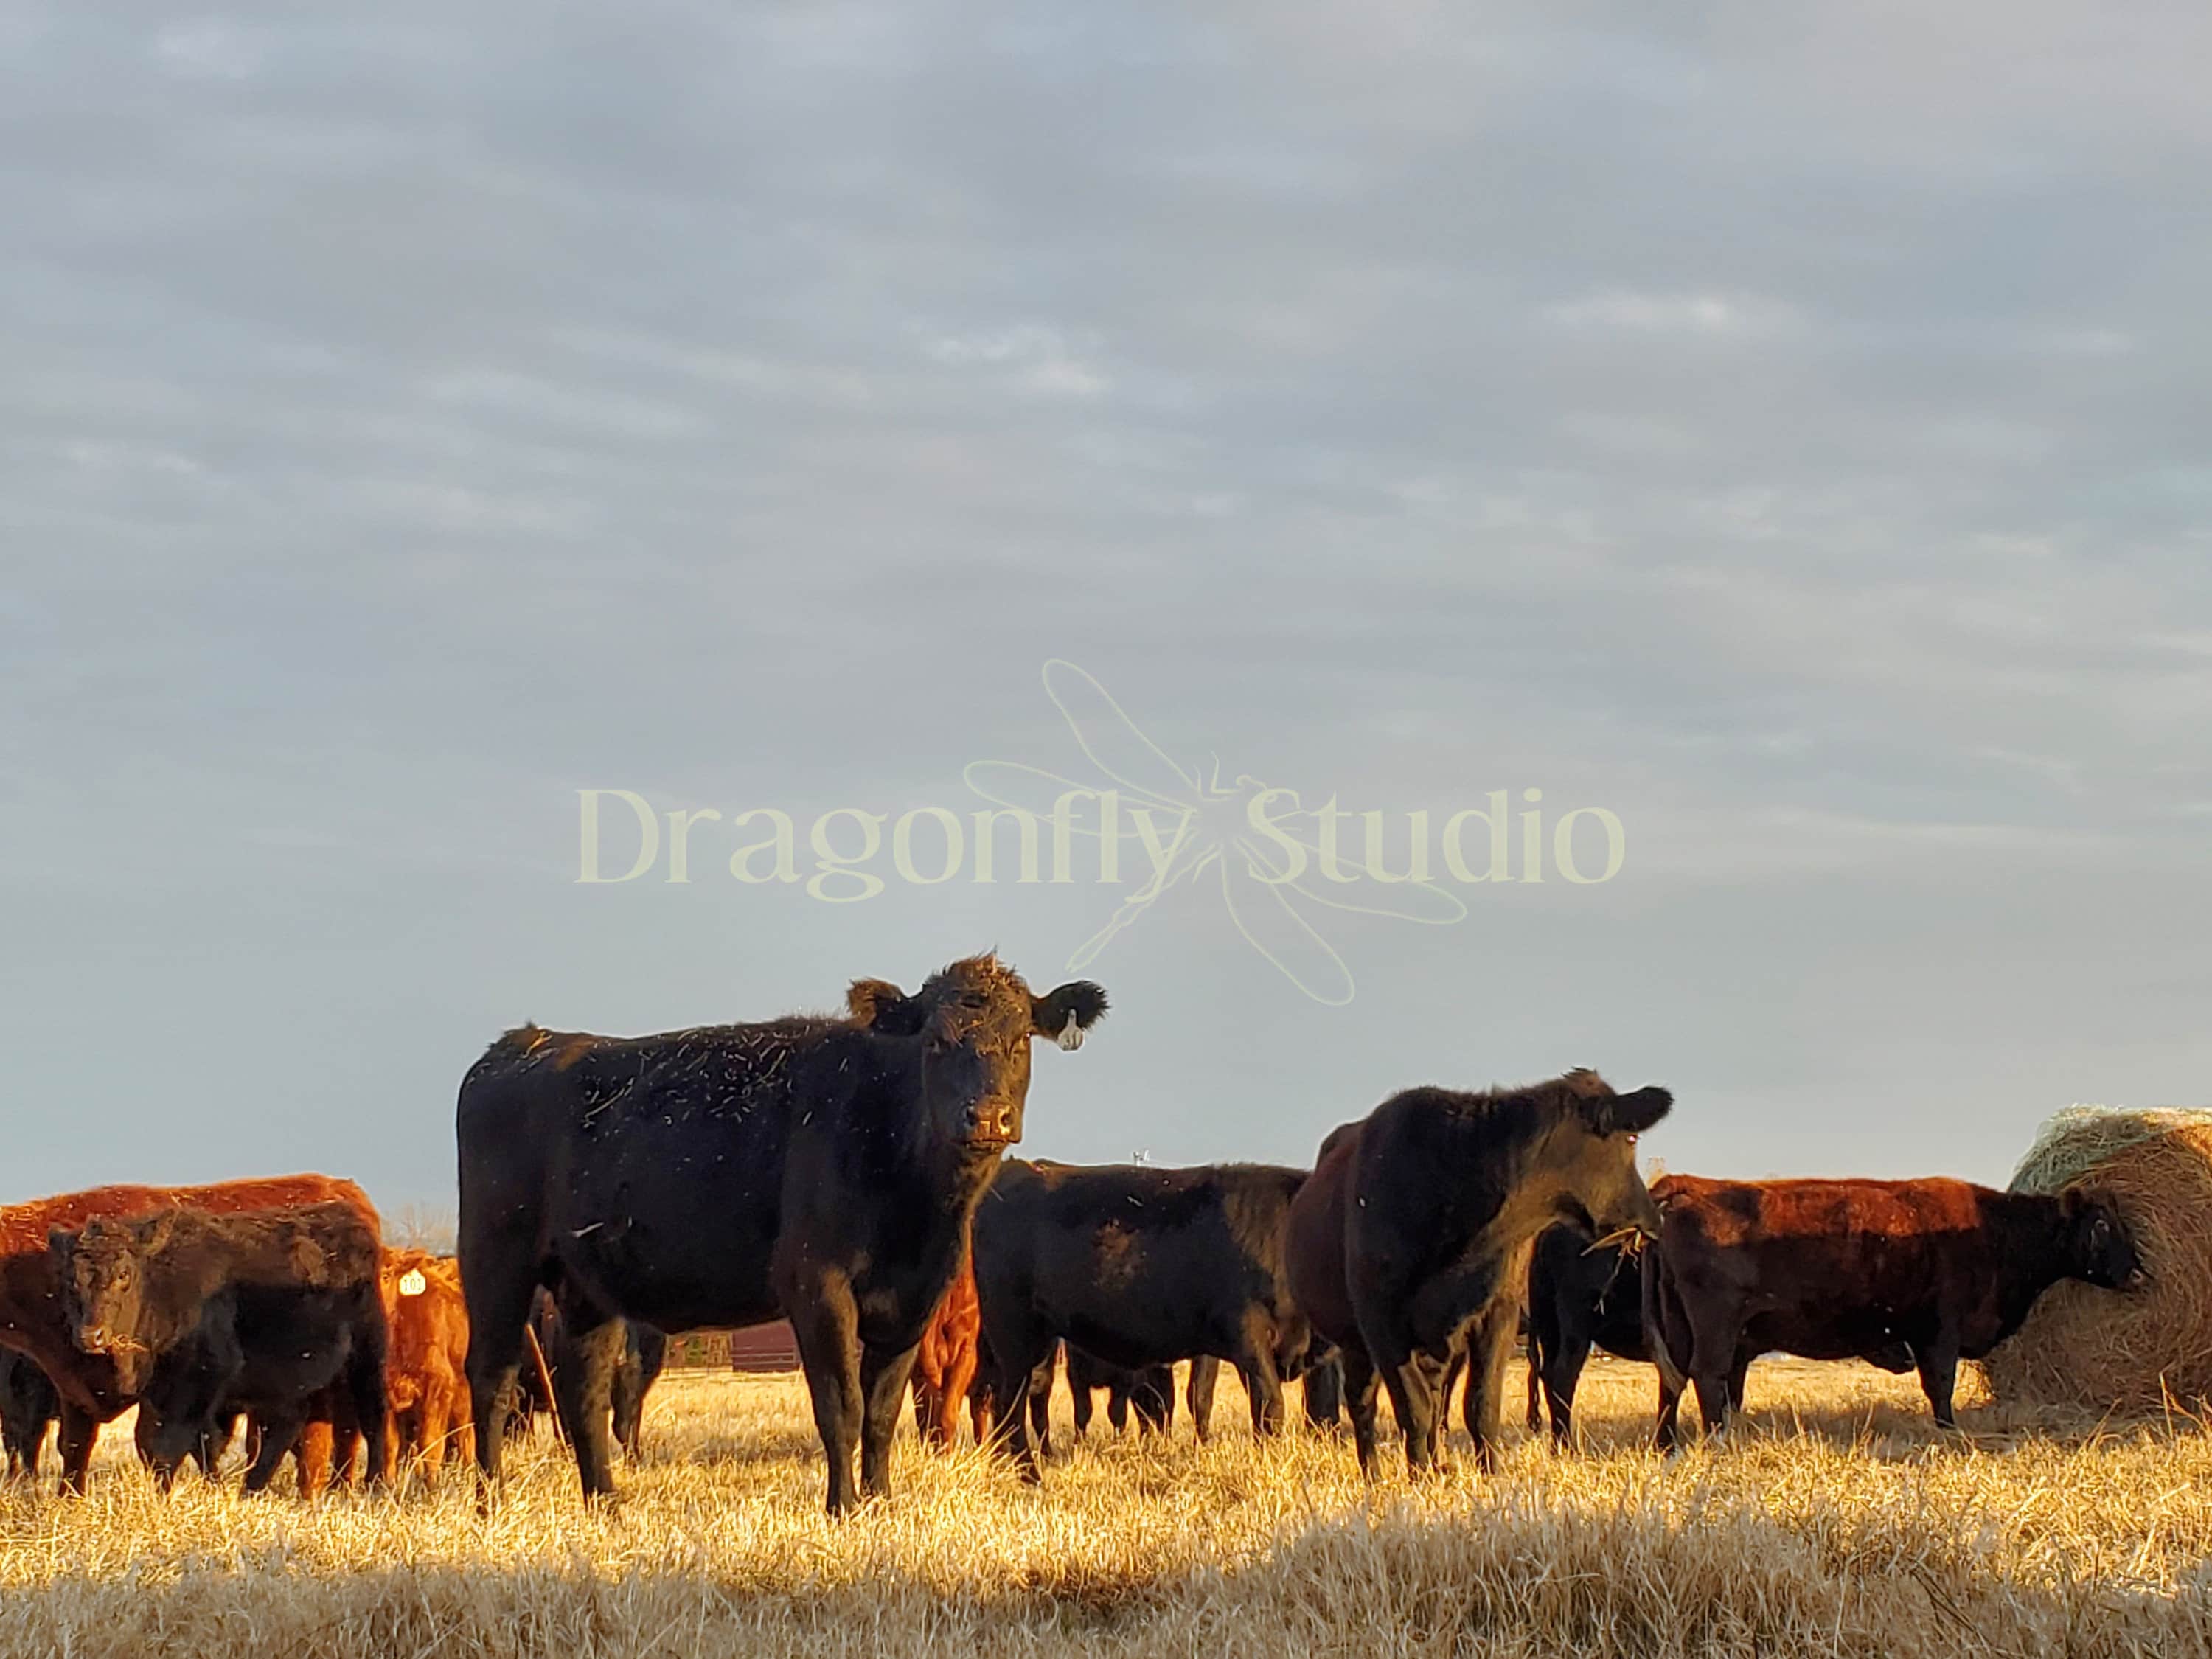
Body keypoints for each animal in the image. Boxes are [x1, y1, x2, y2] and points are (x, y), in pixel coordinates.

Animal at [381, 1249, 473, 1483]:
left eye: (386, 1275)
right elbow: (391, 1447)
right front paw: (388, 1487)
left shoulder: (438, 1389)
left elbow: (431, 1445)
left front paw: (432, 1486)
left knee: (466, 1438)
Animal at [972, 1158, 1315, 1481]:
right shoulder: (1249, 1337)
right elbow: (1271, 1406)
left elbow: (1222, 1401)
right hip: (1014, 1337)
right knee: (1009, 1408)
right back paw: (1030, 1476)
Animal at [1284, 1069, 1674, 1476]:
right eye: (1631, 1138)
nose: (1654, 1219)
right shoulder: (1382, 1325)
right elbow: (1413, 1410)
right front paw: (1418, 1478)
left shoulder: (1498, 1313)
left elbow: (1481, 1405)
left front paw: (1488, 1474)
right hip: (1355, 1340)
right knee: (1364, 1404)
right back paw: (1375, 1476)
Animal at [1643, 1175, 2143, 1446]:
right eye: (2101, 1224)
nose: (2138, 1274)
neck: (1994, 1230)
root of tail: (1689, 1187)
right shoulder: (1939, 1331)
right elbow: (1940, 1385)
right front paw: (1948, 1432)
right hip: (1717, 1327)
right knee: (1706, 1376)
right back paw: (1717, 1440)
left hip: (1679, 1326)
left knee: (1673, 1381)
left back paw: (1668, 1444)